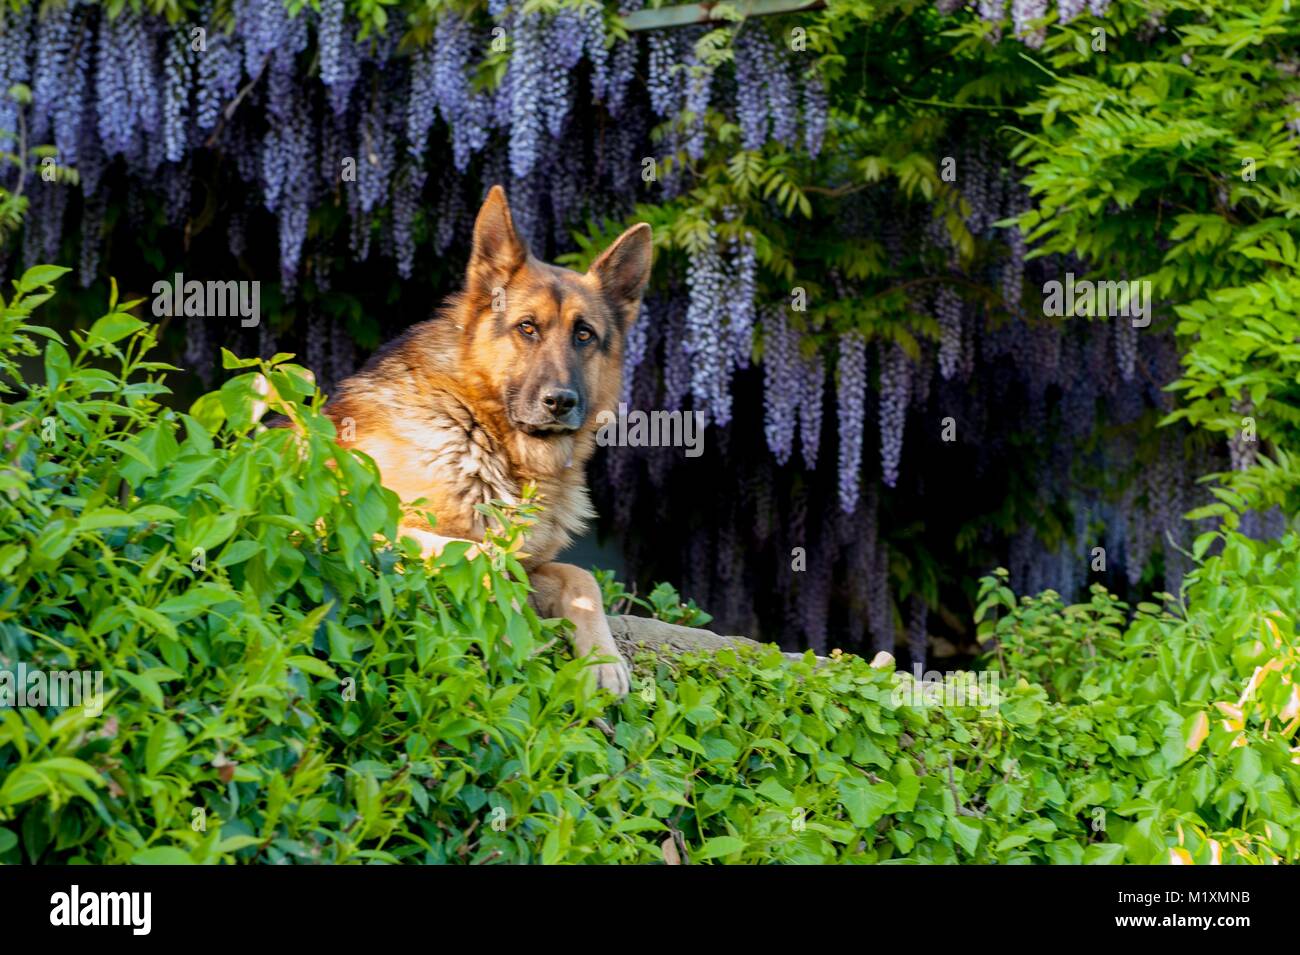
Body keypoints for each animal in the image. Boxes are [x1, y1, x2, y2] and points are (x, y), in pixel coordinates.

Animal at [321, 186, 652, 696]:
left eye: (584, 334)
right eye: (527, 327)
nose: (560, 401)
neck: (481, 431)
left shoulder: (537, 565)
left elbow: (581, 577)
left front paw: (603, 658)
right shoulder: (349, 526)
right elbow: (480, 553)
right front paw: (513, 631)